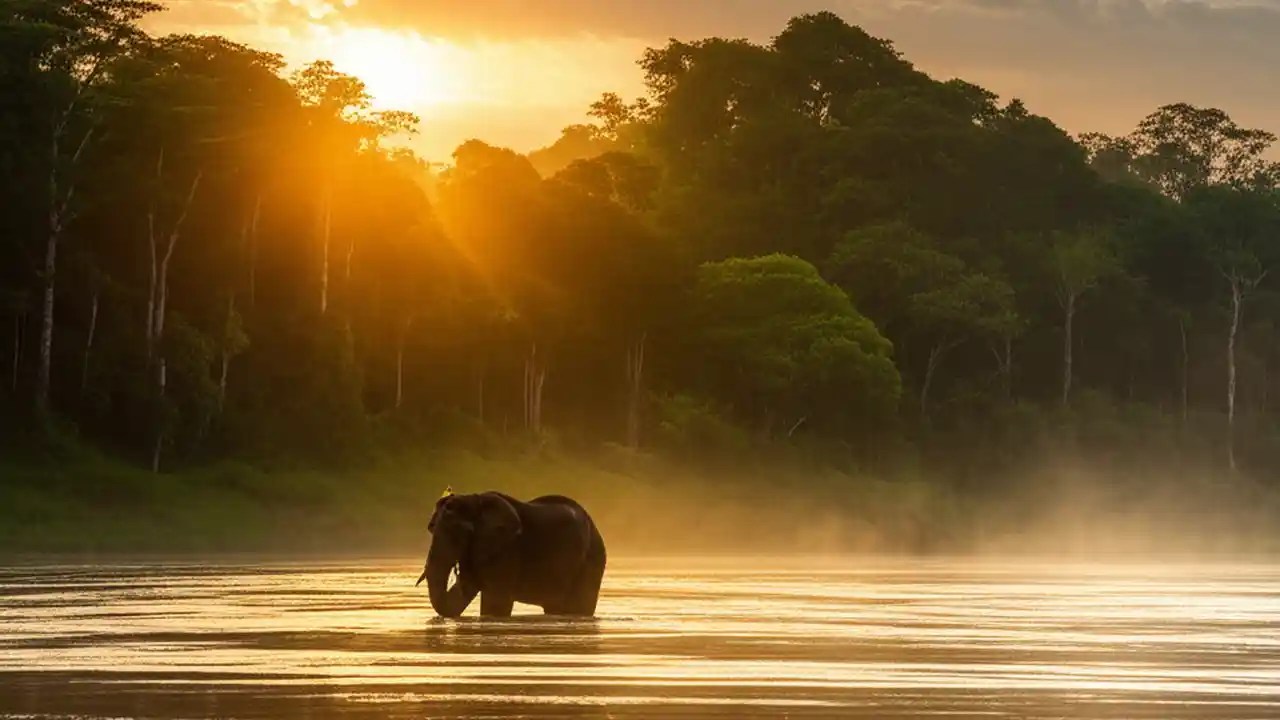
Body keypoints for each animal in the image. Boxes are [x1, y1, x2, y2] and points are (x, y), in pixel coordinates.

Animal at [415, 491, 607, 618]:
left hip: (592, 557)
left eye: (459, 533)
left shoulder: (506, 549)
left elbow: (496, 603)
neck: (474, 499)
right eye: (431, 528)